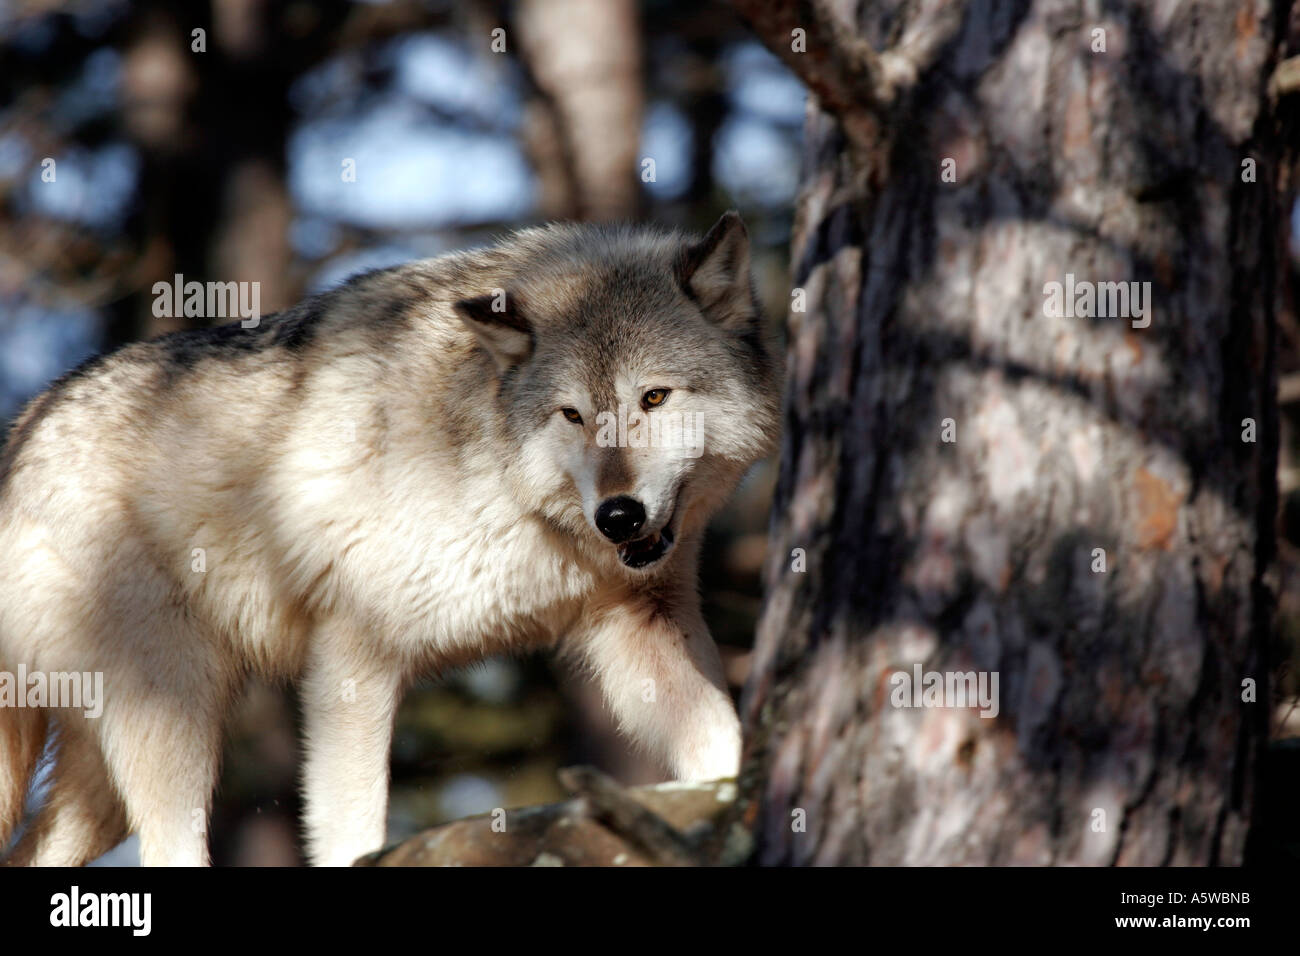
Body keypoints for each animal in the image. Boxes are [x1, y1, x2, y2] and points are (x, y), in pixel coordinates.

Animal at [0, 212, 781, 866]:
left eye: (655, 397)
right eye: (572, 415)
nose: (617, 516)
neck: (509, 489)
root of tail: (23, 432)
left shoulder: (638, 622)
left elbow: (721, 743)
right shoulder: (351, 657)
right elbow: (351, 828)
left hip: (109, 778)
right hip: (174, 716)